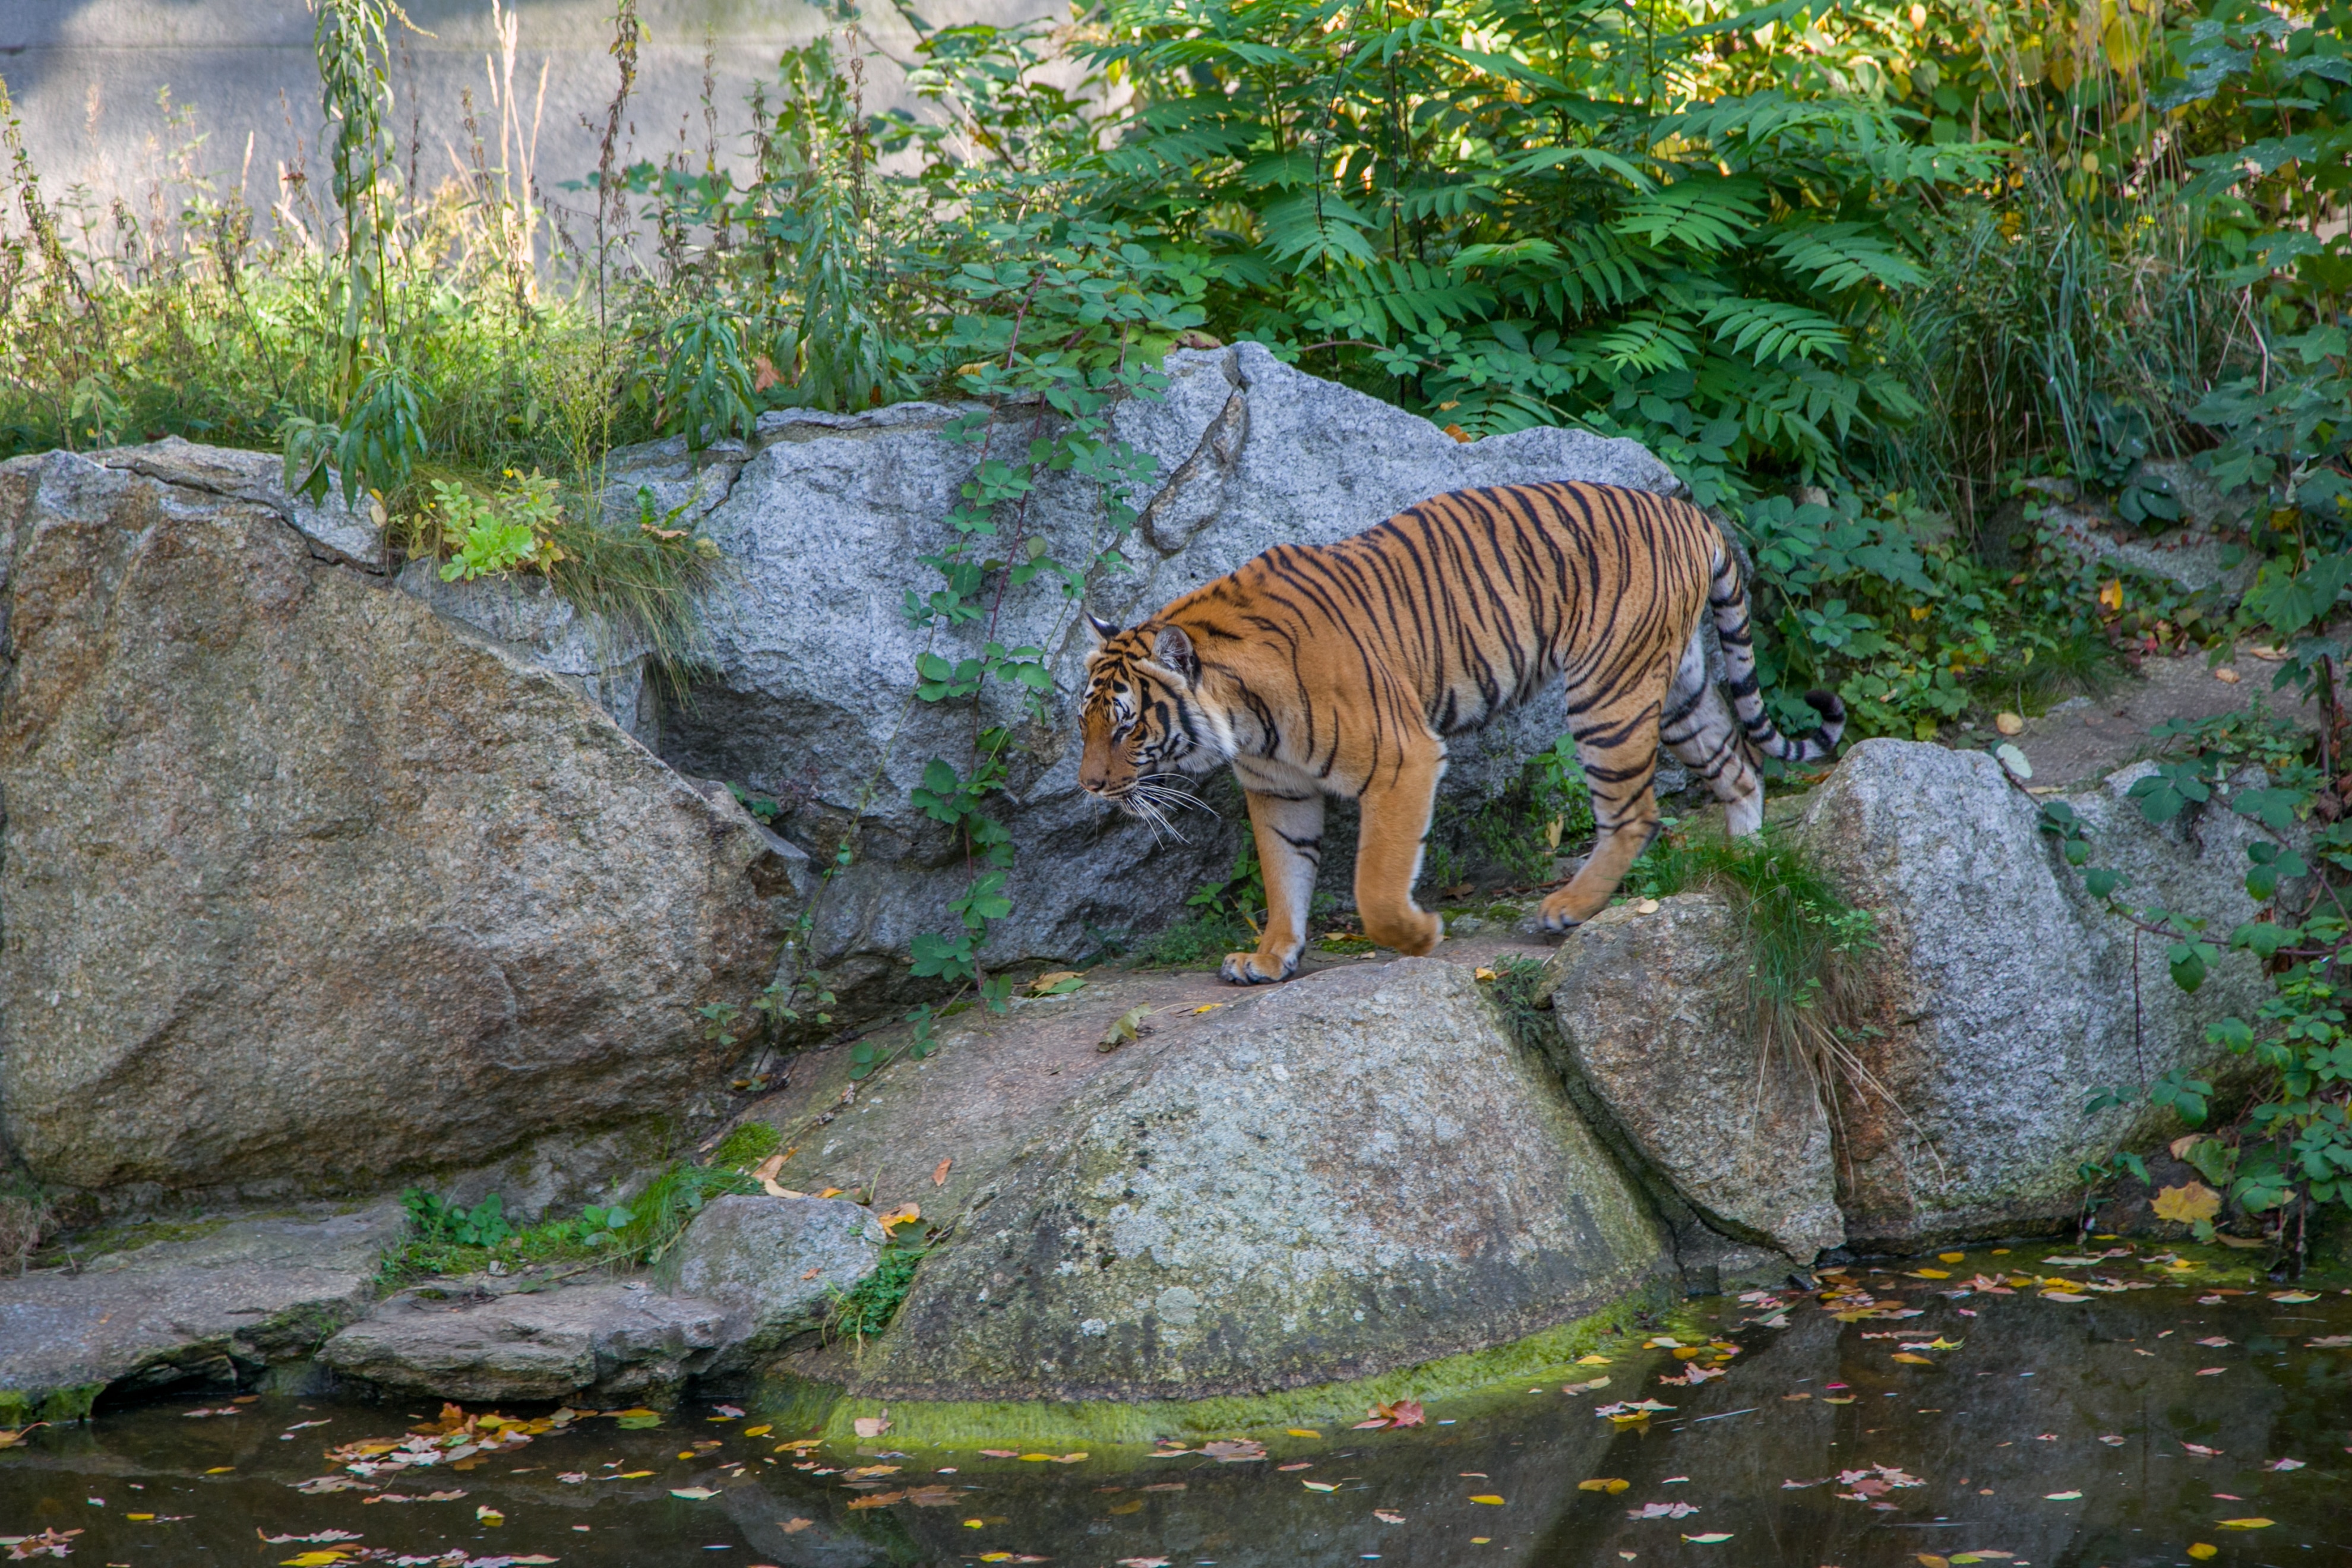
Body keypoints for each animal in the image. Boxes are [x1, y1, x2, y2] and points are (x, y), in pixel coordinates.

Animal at [1076, 481, 1844, 985]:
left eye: (1126, 726)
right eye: (1085, 724)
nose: (1088, 788)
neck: (1244, 718)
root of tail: (1689, 514)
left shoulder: (1403, 759)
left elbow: (1376, 884)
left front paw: (1419, 936)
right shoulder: (1279, 792)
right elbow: (1285, 876)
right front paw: (1269, 958)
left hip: (1609, 692)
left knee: (1636, 812)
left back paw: (1566, 909)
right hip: (1676, 685)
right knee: (1739, 765)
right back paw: (1752, 867)